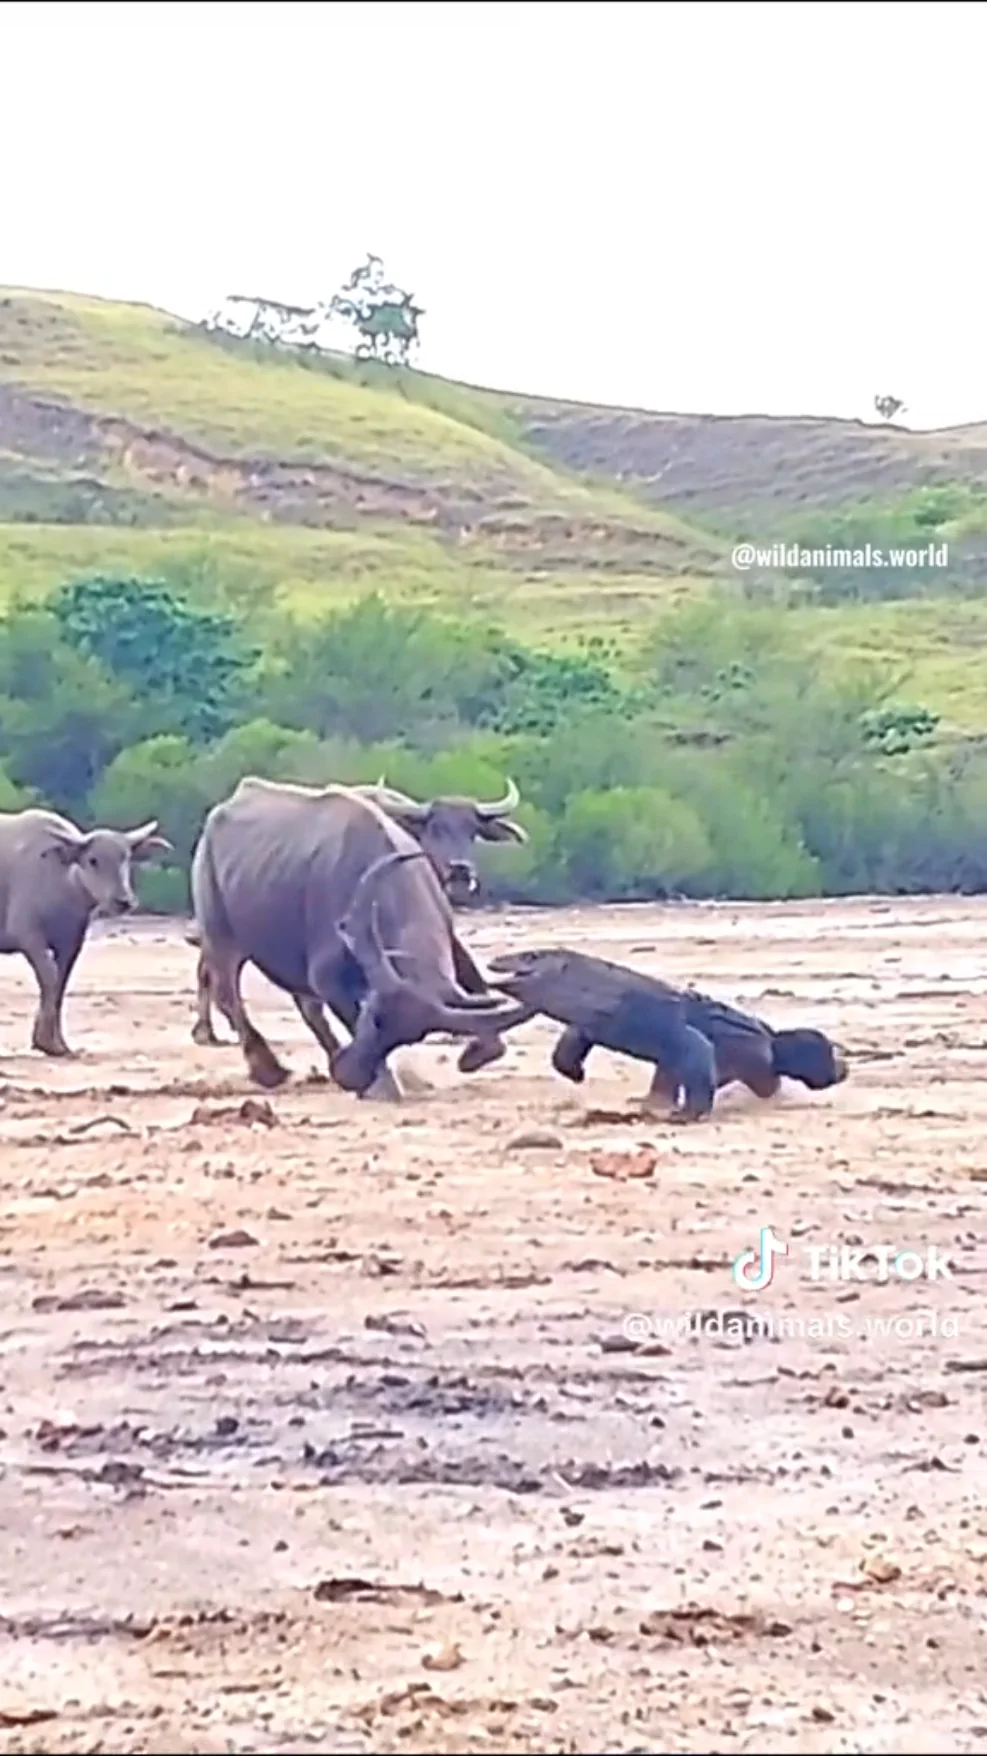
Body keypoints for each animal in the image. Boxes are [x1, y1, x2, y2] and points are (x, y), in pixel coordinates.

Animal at [0, 809, 172, 1056]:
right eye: (93, 860)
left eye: (126, 858)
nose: (123, 901)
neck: (63, 880)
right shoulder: (29, 937)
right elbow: (49, 980)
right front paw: (47, 1042)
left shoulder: (71, 944)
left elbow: (60, 985)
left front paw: (57, 1042)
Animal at [189, 777, 526, 1098]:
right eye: (372, 1016)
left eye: (410, 1036)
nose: (350, 1074)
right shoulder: (326, 976)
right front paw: (382, 1084)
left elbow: (472, 977)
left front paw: (482, 1049)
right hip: (220, 933)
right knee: (227, 994)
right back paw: (266, 1067)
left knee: (306, 1009)